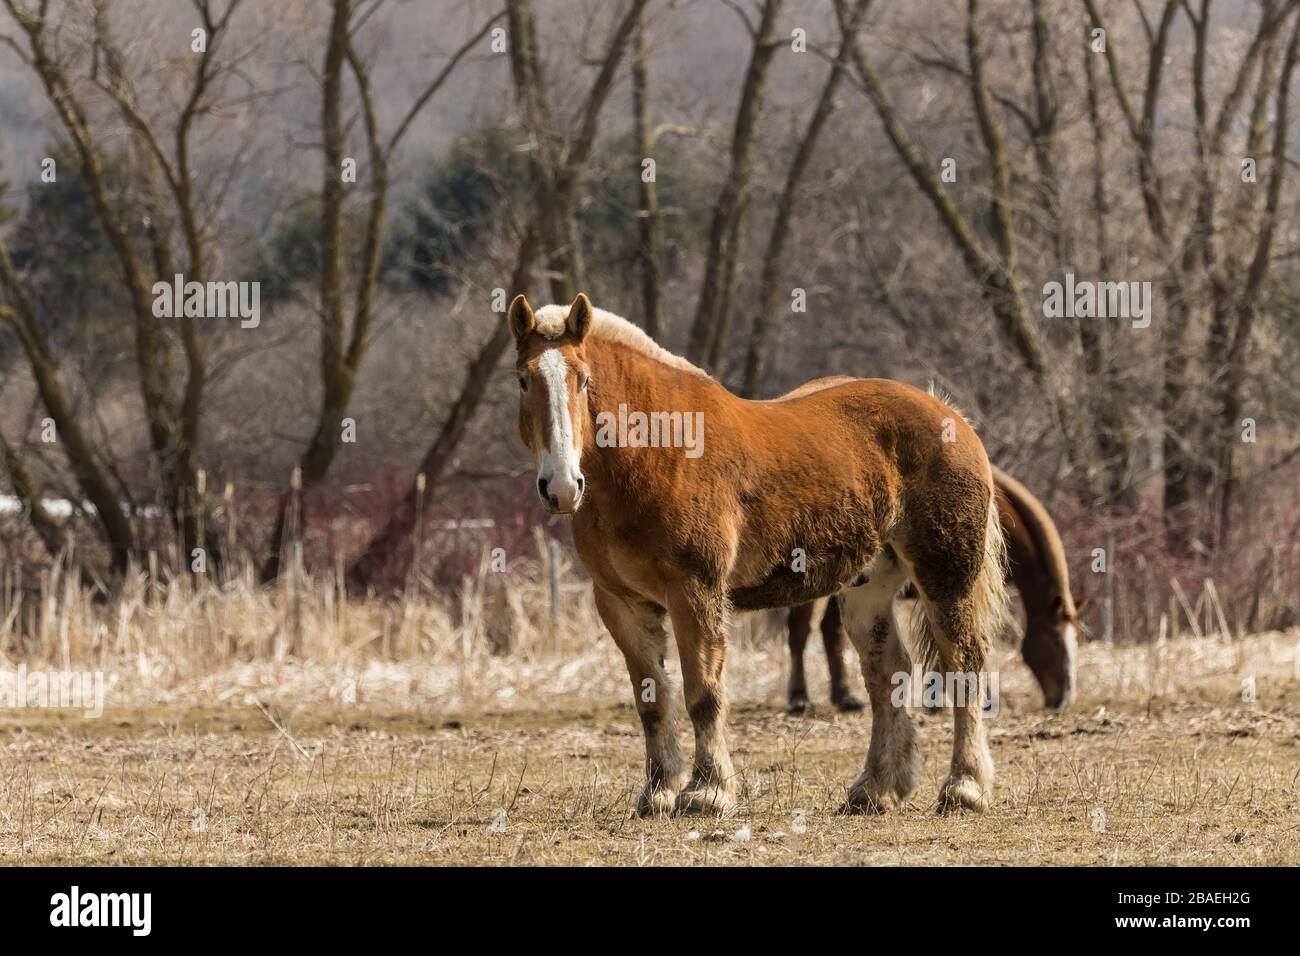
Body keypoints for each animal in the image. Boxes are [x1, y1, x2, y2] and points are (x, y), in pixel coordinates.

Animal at [510, 293, 1010, 816]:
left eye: (584, 379)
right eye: (523, 379)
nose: (562, 487)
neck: (655, 451)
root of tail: (949, 414)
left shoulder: (695, 591)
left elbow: (703, 694)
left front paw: (707, 792)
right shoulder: (621, 603)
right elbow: (653, 700)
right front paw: (659, 792)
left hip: (945, 576)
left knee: (964, 665)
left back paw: (964, 787)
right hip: (867, 588)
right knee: (886, 672)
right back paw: (875, 788)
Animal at [786, 464, 1082, 713]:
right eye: (1056, 641)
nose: (1063, 700)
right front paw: (943, 699)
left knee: (830, 632)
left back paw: (845, 698)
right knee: (800, 631)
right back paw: (799, 699)